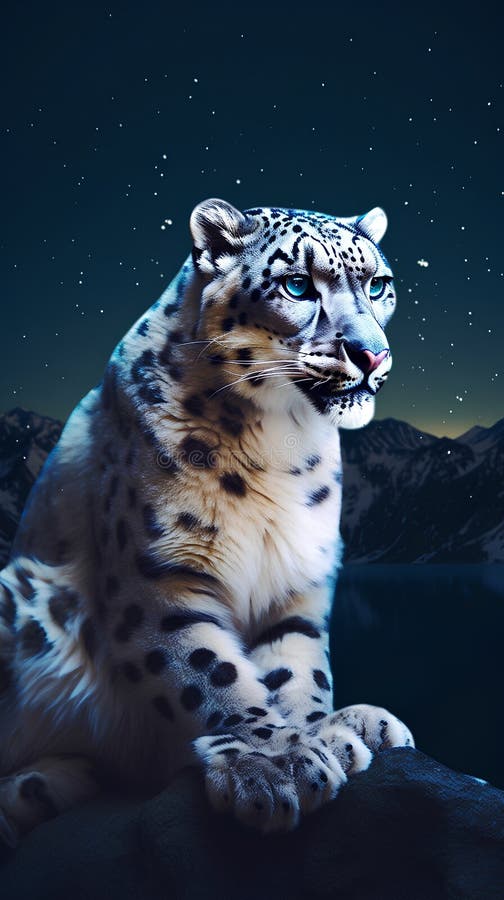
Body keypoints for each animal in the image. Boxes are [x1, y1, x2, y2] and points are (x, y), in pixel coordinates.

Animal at [0, 198, 413, 846]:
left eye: (377, 284)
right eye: (298, 284)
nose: (371, 353)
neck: (284, 443)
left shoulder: (298, 581)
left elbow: (300, 668)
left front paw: (327, 731)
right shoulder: (159, 576)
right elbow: (208, 670)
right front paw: (278, 764)